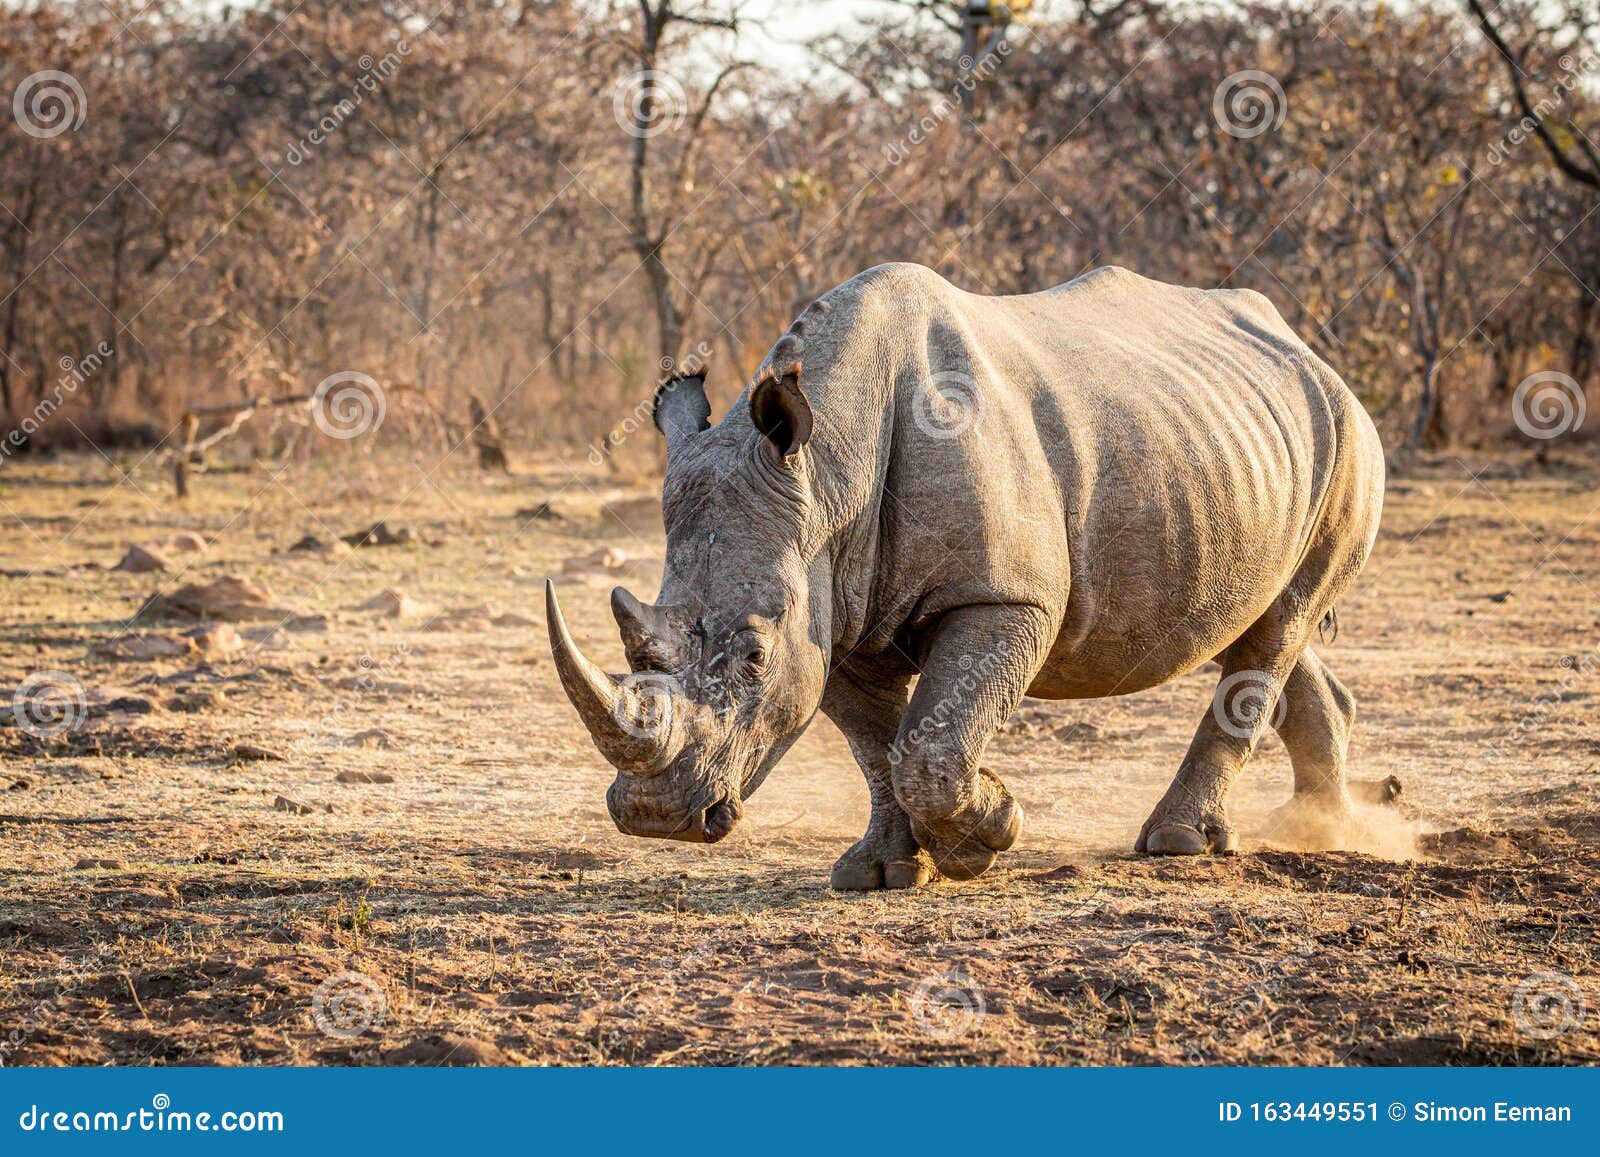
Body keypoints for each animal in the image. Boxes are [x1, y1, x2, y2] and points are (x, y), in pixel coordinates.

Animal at [547, 263, 1385, 889]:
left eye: (753, 656)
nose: (658, 816)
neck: (828, 469)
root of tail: (1307, 348)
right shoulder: (831, 603)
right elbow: (877, 744)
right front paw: (879, 872)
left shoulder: (1004, 597)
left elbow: (928, 744)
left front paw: (988, 832)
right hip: (1230, 447)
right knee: (1260, 622)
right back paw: (1325, 824)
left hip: (1348, 434)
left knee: (1276, 626)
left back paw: (1179, 842)